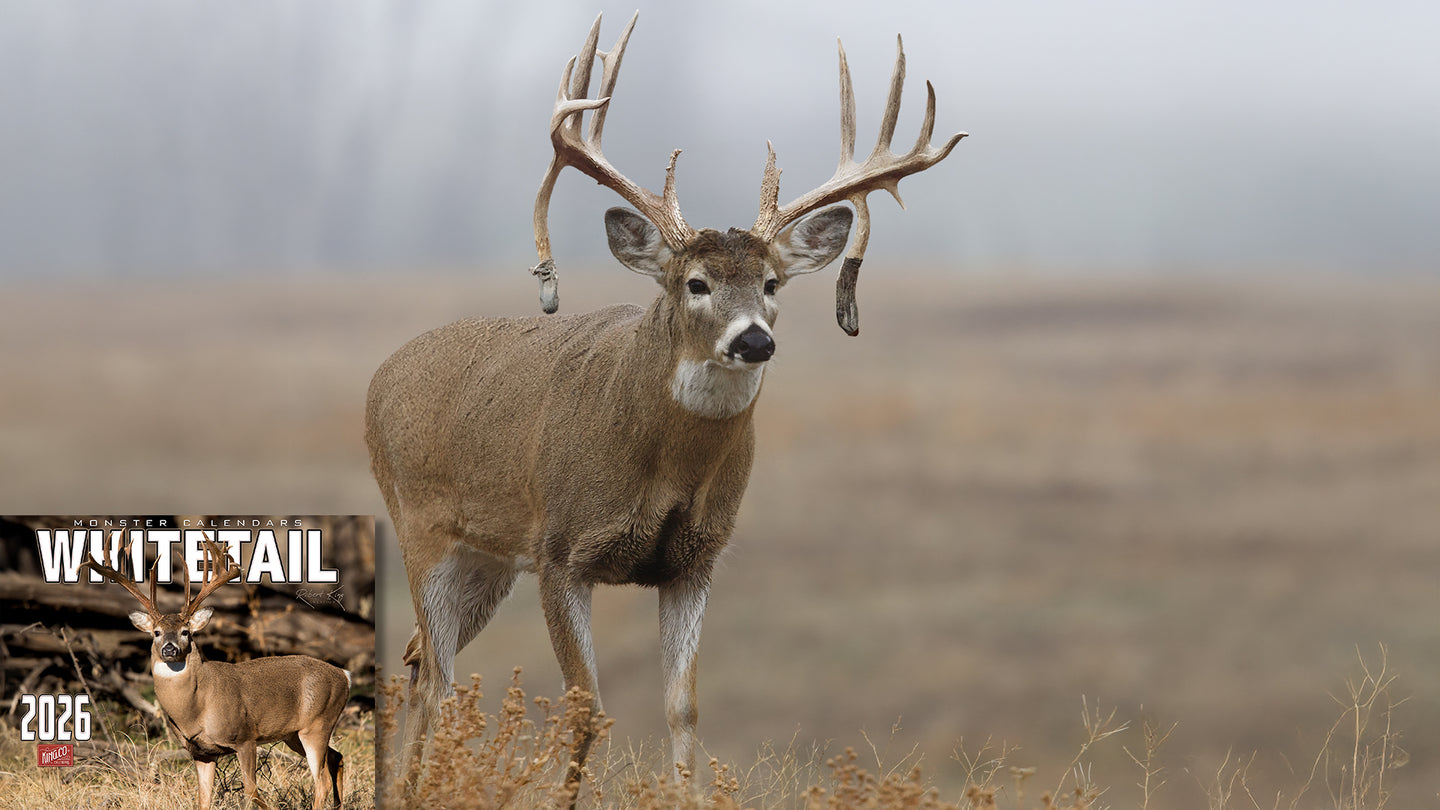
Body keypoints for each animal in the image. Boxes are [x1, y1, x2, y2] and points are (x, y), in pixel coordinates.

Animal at [80, 535, 351, 810]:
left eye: (186, 632)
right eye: (156, 632)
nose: (169, 648)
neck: (196, 708)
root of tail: (345, 675)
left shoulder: (245, 737)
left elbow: (252, 791)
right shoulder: (201, 752)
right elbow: (203, 799)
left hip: (317, 723)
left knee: (321, 782)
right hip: (293, 734)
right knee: (336, 757)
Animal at [365, 11, 966, 799]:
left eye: (772, 283)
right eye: (696, 282)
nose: (754, 339)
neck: (663, 467)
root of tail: (378, 379)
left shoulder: (694, 560)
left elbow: (684, 709)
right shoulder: (562, 551)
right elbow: (586, 709)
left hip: (488, 561)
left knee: (415, 665)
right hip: (423, 530)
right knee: (436, 677)